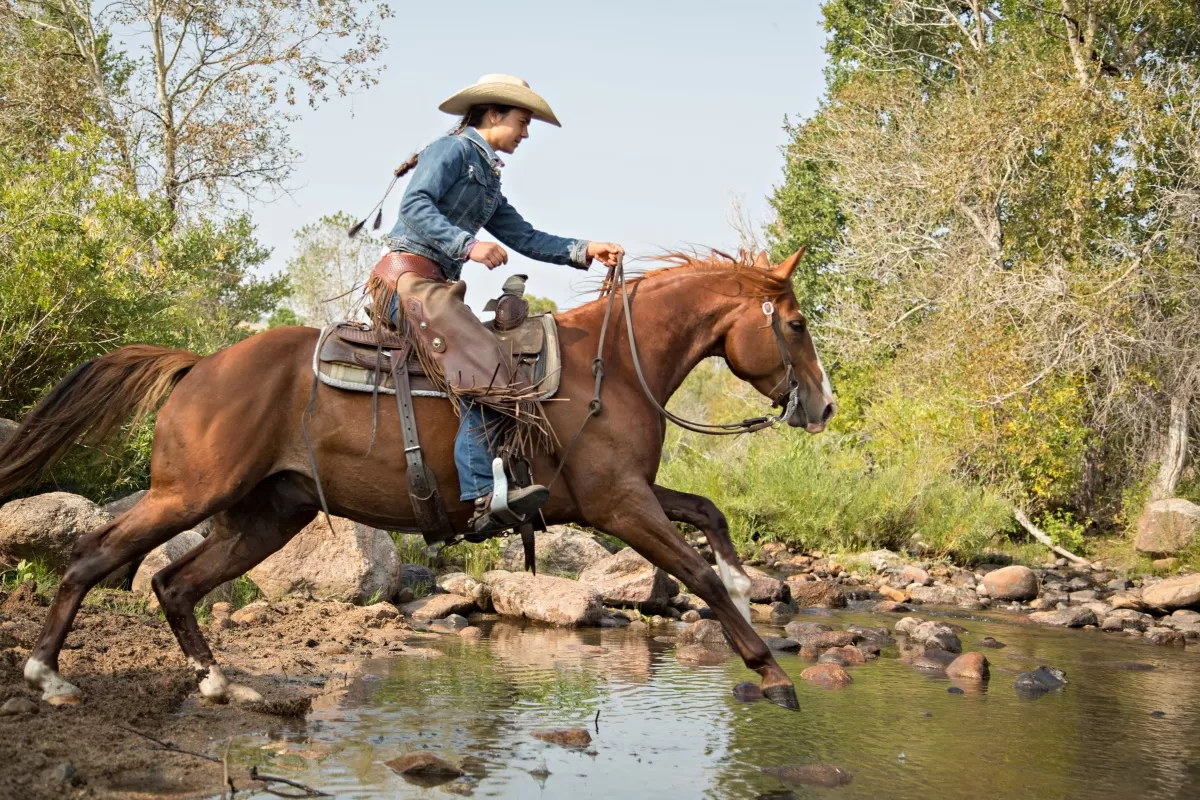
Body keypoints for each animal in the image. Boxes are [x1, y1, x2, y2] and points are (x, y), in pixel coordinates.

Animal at [0, 248, 835, 705]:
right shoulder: (618, 506)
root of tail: (198, 365)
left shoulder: (622, 496)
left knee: (175, 584)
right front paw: (769, 672)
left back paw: (217, 682)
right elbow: (695, 570)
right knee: (97, 557)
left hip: (266, 516)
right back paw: (45, 673)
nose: (823, 405)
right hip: (187, 495)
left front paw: (750, 589)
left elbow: (709, 514)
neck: (615, 366)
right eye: (795, 325)